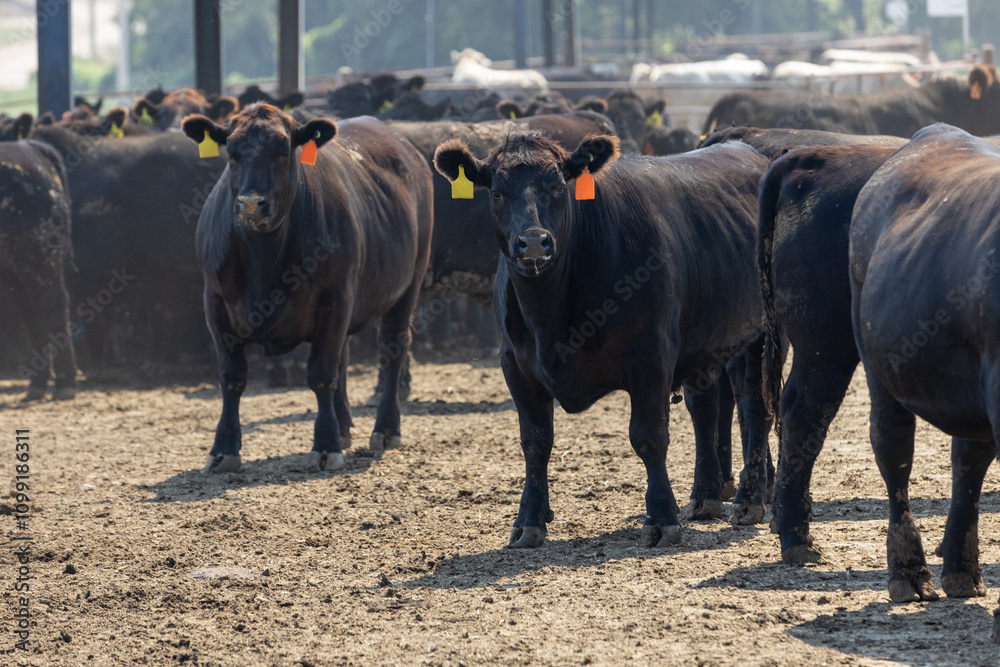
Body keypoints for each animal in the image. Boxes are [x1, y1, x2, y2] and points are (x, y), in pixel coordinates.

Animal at [0, 140, 77, 400]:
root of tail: (29, 147)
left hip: (41, 262)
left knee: (52, 310)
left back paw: (64, 384)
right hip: (17, 273)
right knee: (33, 315)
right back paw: (37, 385)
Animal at [181, 103, 432, 474]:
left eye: (283, 151)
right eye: (231, 153)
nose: (251, 203)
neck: (264, 255)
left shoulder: (335, 297)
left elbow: (321, 374)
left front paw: (325, 445)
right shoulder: (215, 303)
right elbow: (231, 376)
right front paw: (223, 449)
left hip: (408, 284)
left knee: (392, 350)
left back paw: (385, 430)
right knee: (344, 355)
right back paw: (344, 426)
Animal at [434, 132, 773, 547]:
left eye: (557, 187)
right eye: (497, 192)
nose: (533, 243)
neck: (551, 315)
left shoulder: (650, 355)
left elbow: (648, 436)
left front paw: (661, 518)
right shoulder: (515, 364)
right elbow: (535, 442)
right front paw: (529, 520)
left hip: (760, 332)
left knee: (754, 407)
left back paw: (749, 501)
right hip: (704, 340)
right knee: (705, 410)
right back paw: (705, 497)